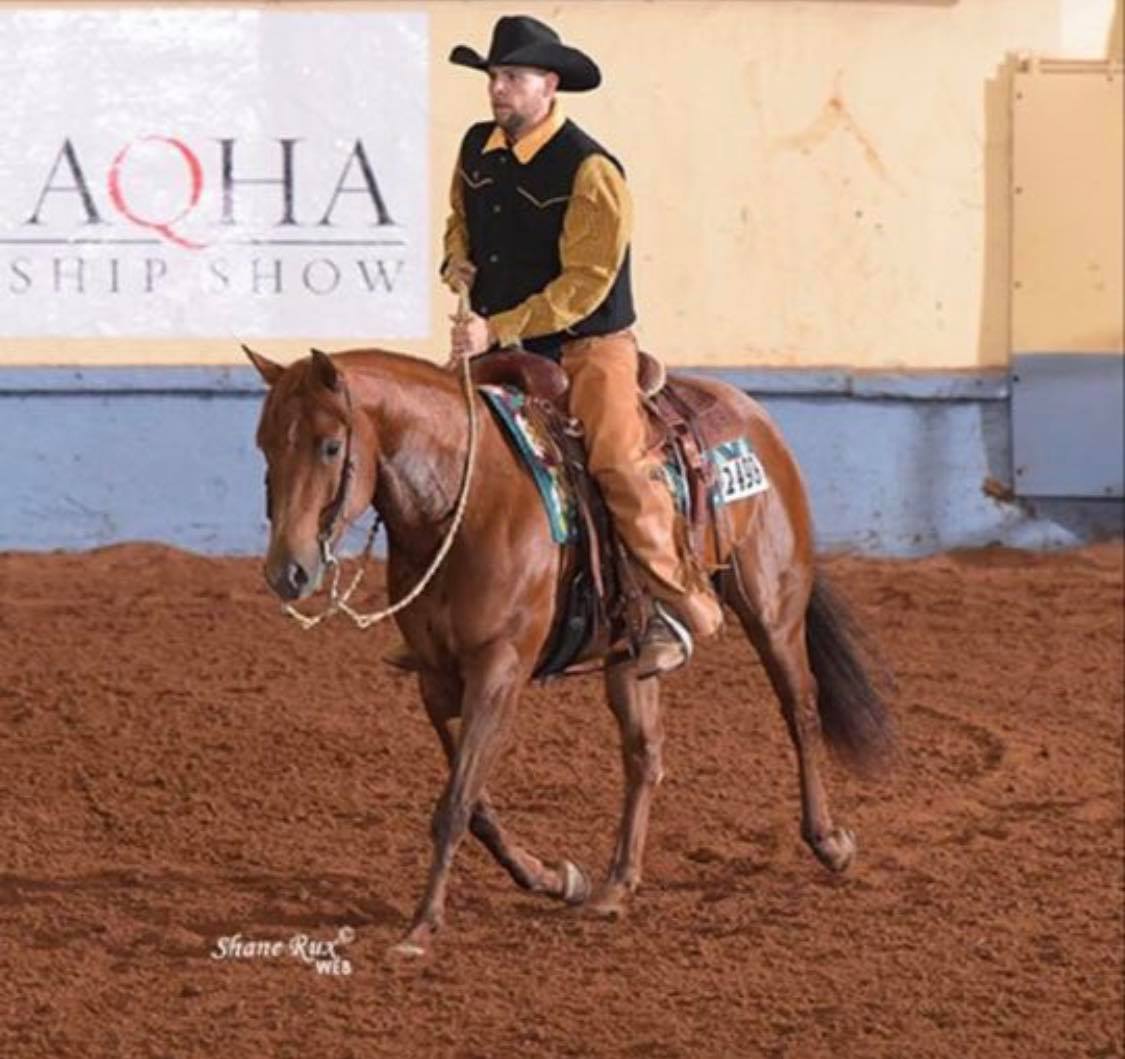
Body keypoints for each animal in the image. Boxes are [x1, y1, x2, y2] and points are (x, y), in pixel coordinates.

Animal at [245, 344, 893, 957]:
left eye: (331, 446)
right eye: (264, 445)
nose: (288, 572)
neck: (468, 497)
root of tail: (749, 410)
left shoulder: (499, 669)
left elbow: (455, 802)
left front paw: (421, 926)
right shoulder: (437, 678)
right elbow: (476, 804)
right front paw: (555, 878)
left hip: (773, 606)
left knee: (800, 710)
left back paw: (830, 843)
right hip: (630, 656)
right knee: (645, 755)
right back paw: (616, 885)